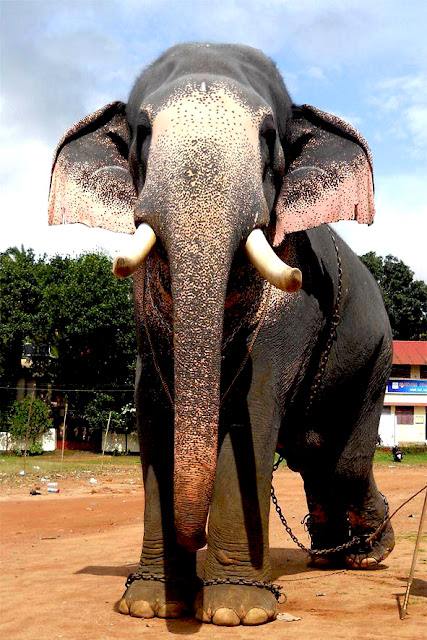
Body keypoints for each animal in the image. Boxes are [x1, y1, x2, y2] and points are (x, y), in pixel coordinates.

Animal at [48, 43, 394, 626]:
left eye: (269, 136)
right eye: (143, 131)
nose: (197, 543)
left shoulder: (294, 307)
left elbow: (249, 411)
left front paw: (237, 609)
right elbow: (152, 407)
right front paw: (151, 602)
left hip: (375, 362)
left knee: (343, 463)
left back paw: (370, 555)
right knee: (316, 460)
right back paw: (331, 556)